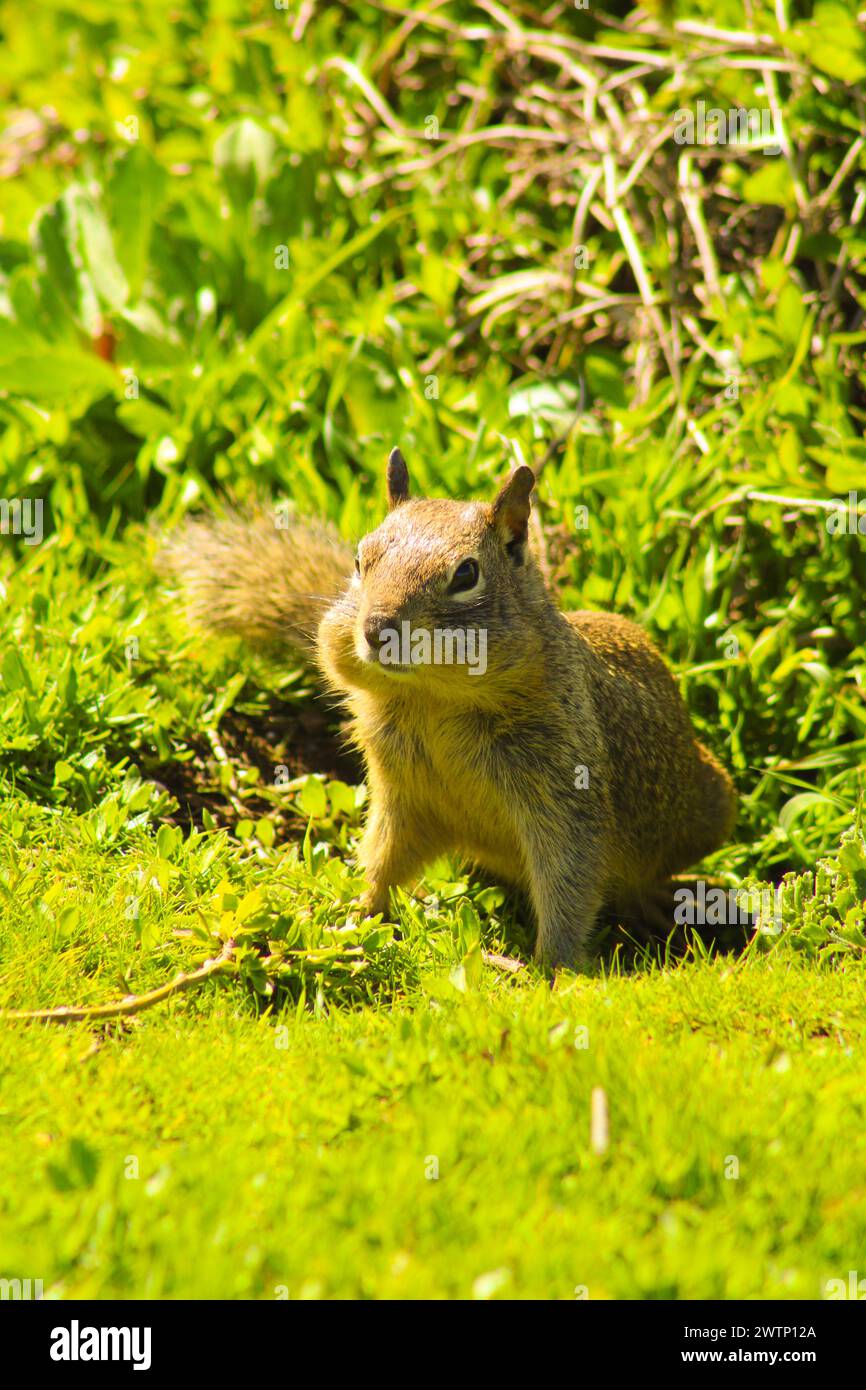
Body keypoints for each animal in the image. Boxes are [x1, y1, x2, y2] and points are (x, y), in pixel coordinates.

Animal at [161, 449, 736, 969]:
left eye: (466, 575)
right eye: (359, 560)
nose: (375, 628)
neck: (435, 700)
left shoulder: (567, 795)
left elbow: (569, 879)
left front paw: (556, 967)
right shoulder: (404, 798)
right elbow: (383, 859)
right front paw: (353, 918)